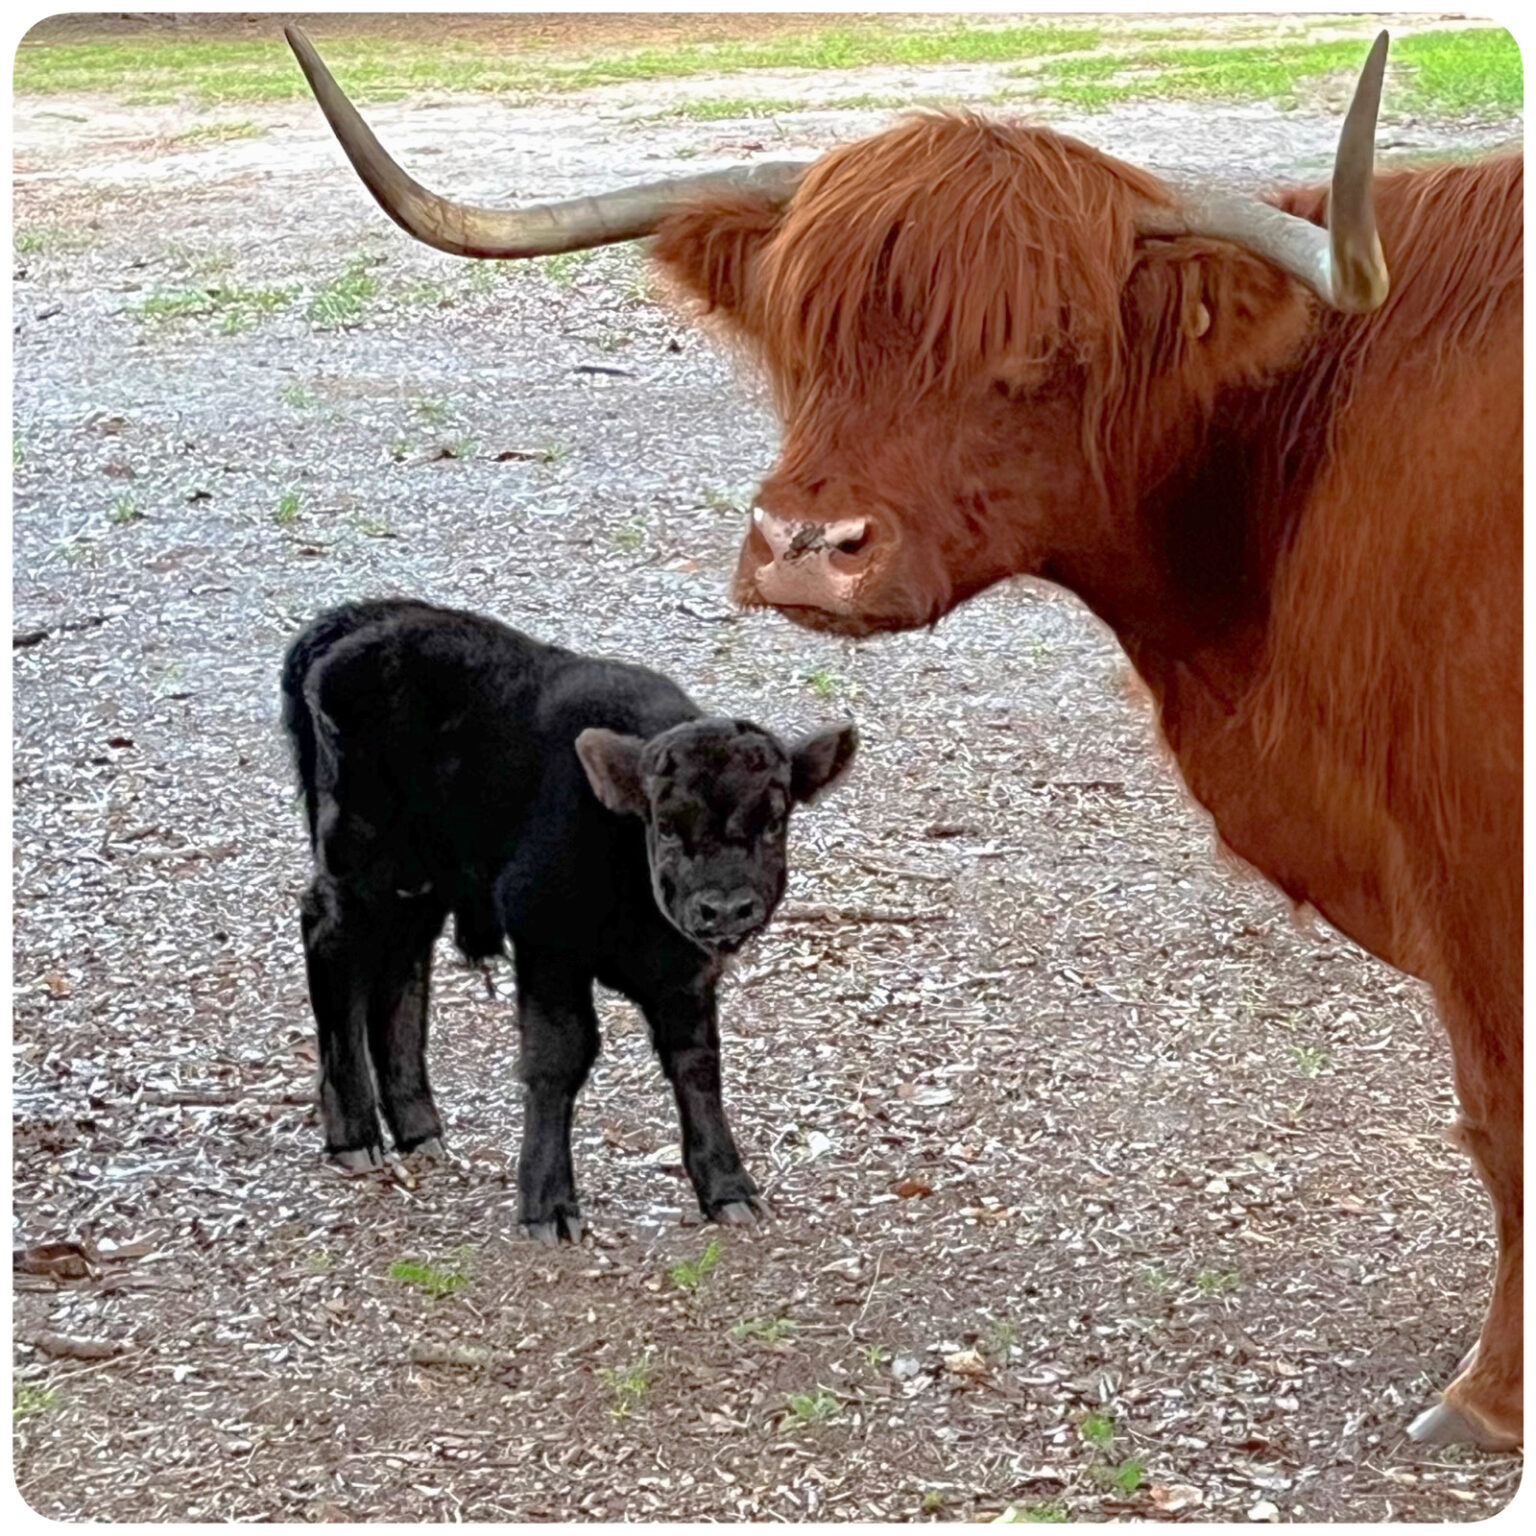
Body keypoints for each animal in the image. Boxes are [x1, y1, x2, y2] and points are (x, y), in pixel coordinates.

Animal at [281, 598, 858, 1242]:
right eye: (664, 825)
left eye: (775, 820)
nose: (726, 906)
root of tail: (355, 620)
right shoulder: (547, 942)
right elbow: (558, 1056)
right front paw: (549, 1207)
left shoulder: (684, 972)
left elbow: (696, 1059)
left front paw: (729, 1190)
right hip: (359, 864)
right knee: (332, 943)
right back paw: (355, 1136)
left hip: (418, 882)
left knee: (400, 968)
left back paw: (418, 1129)